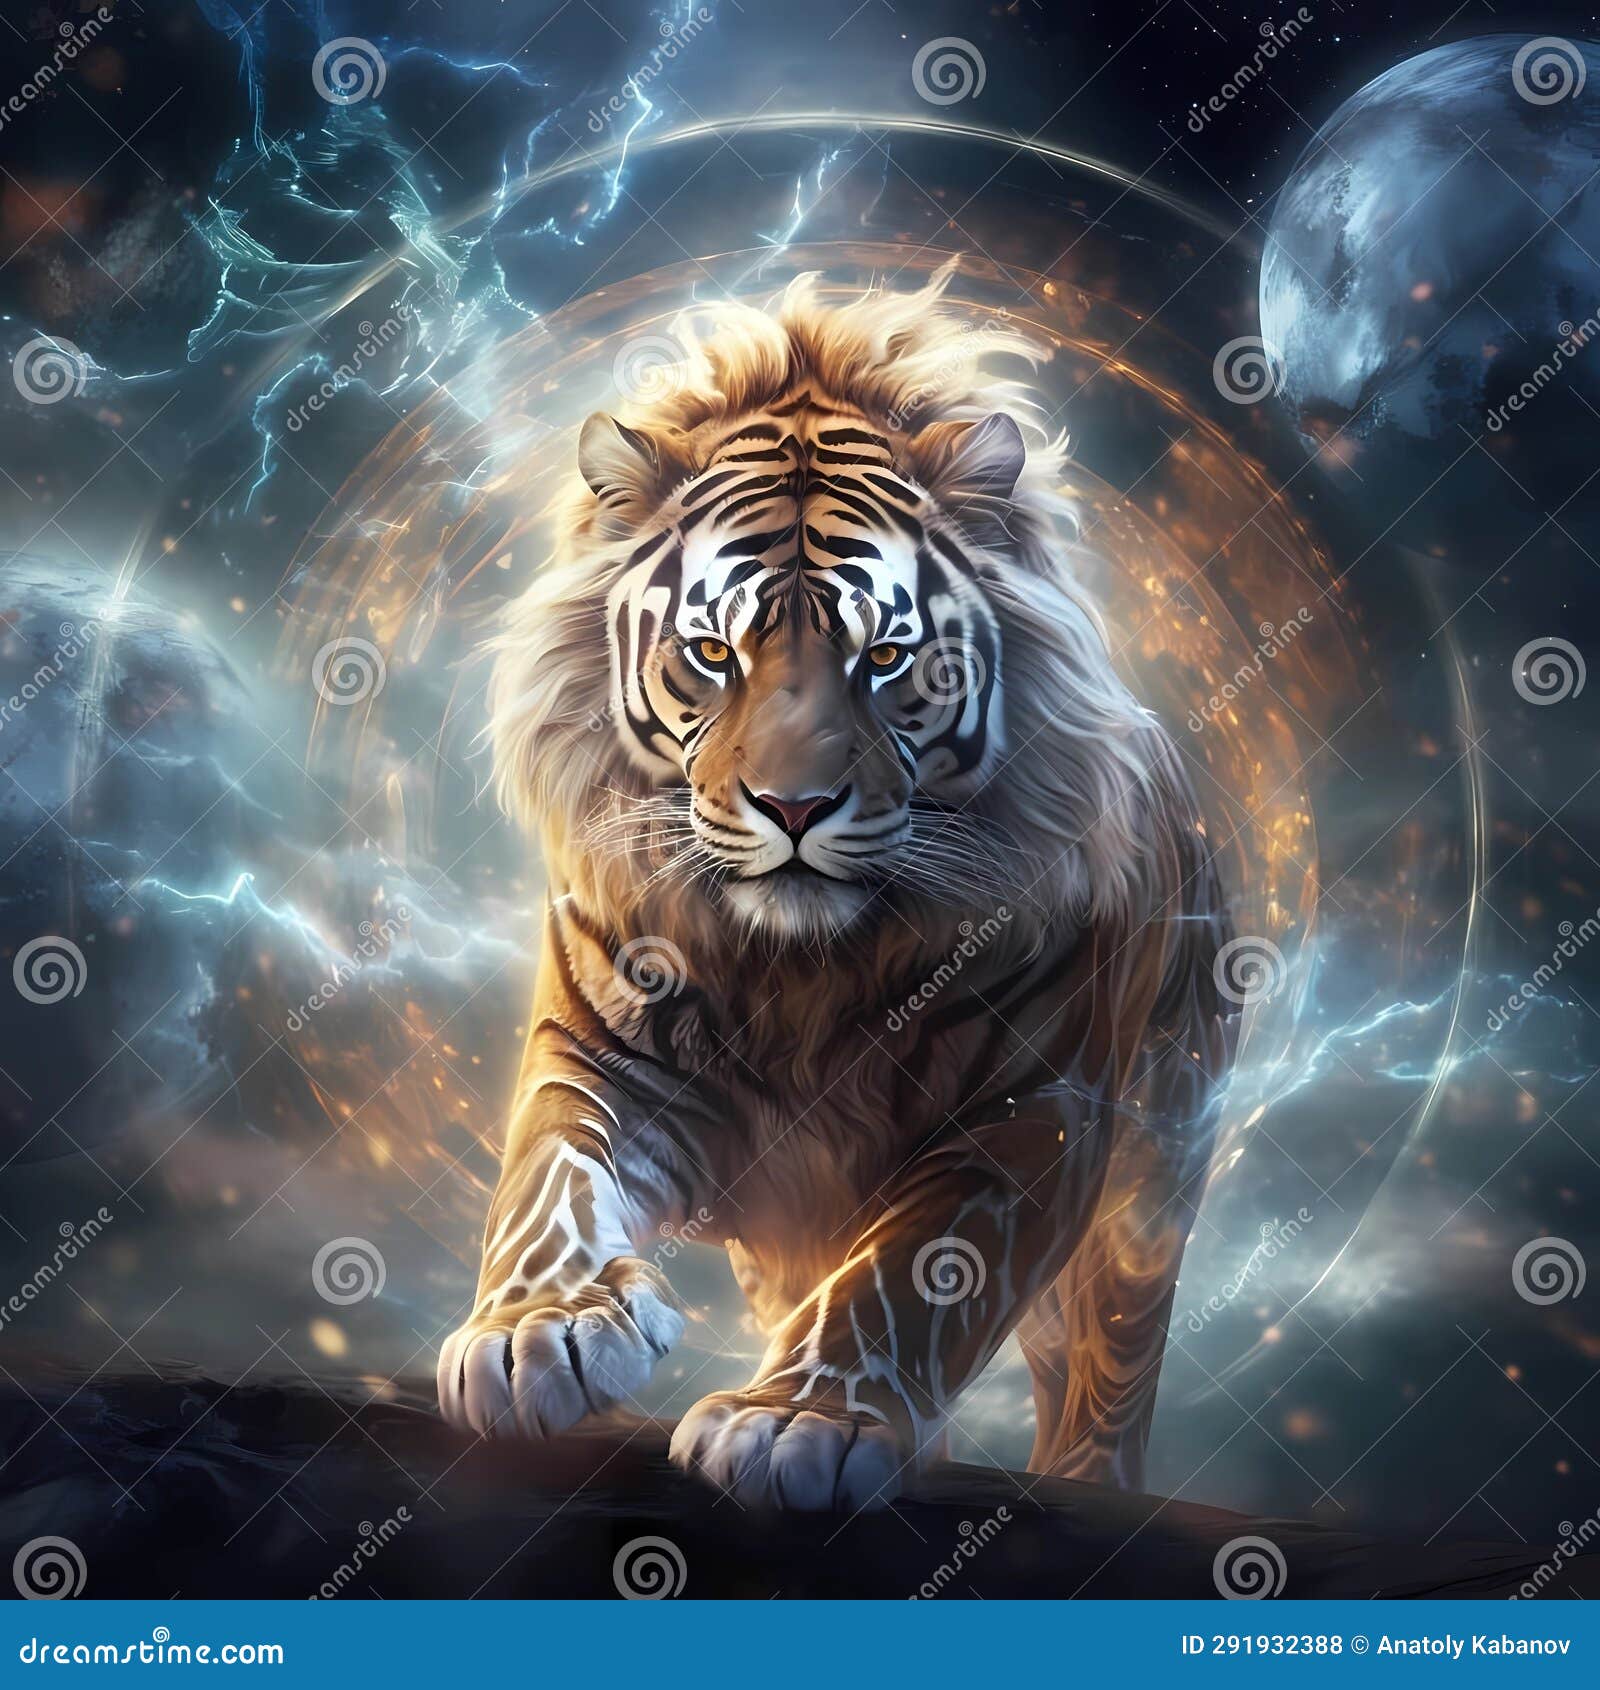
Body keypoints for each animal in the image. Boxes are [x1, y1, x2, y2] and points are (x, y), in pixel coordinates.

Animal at [437, 263, 1237, 1511]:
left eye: (886, 656)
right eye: (713, 653)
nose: (795, 807)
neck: (800, 969)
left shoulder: (1035, 1112)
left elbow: (912, 1272)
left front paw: (800, 1419)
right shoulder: (594, 1048)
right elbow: (546, 1174)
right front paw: (539, 1329)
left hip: (1153, 1176)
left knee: (1111, 1356)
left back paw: (1088, 1475)